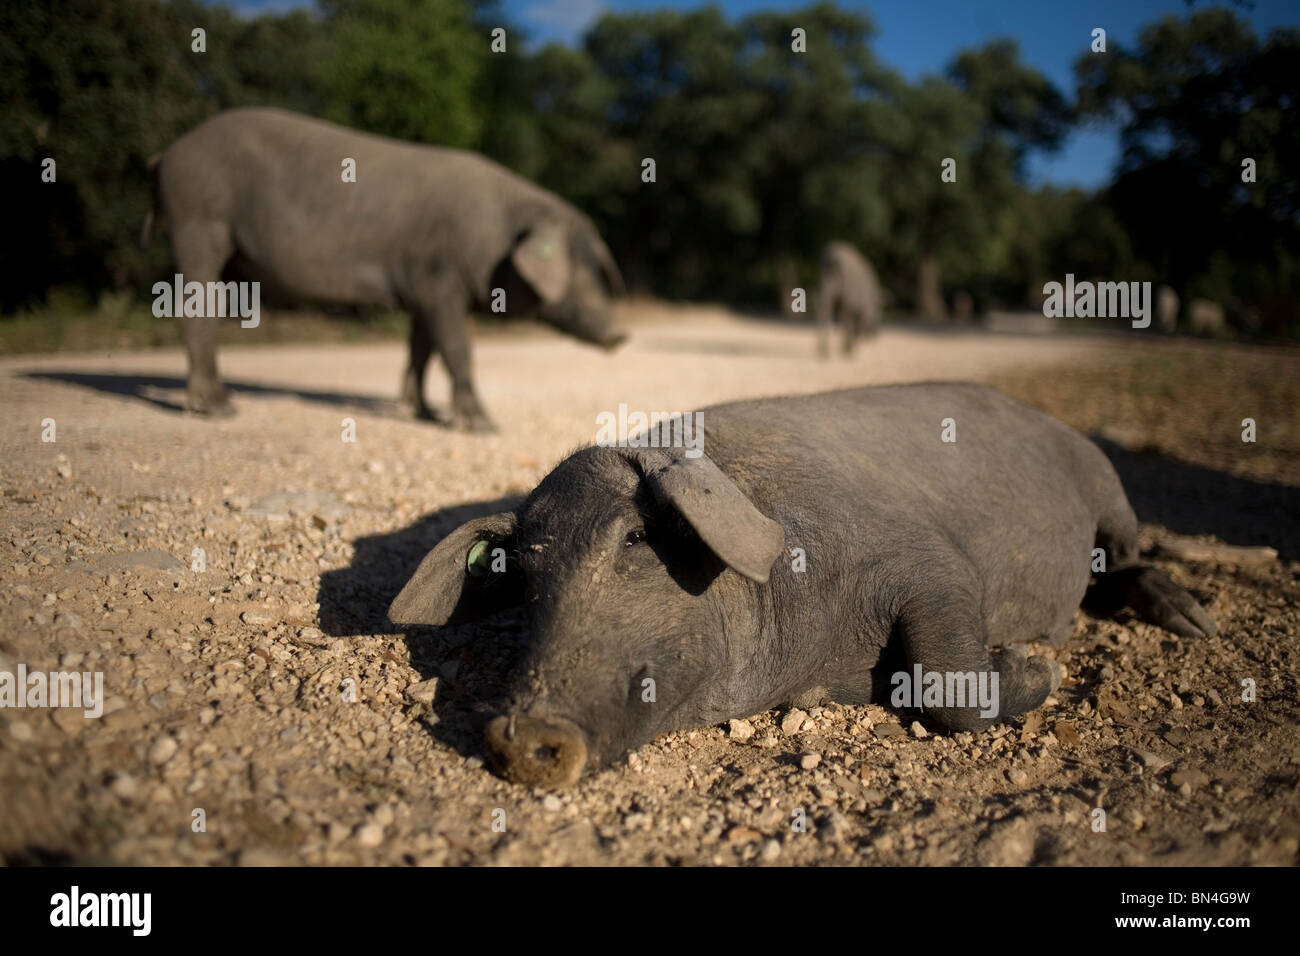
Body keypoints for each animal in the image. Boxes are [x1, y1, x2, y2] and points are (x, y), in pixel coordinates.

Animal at [389, 383, 1216, 787]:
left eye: (633, 541)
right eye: (526, 575)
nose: (518, 733)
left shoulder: (930, 561)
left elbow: (947, 684)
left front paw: (1045, 667)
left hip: (1108, 487)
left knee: (1128, 556)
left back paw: (1198, 622)